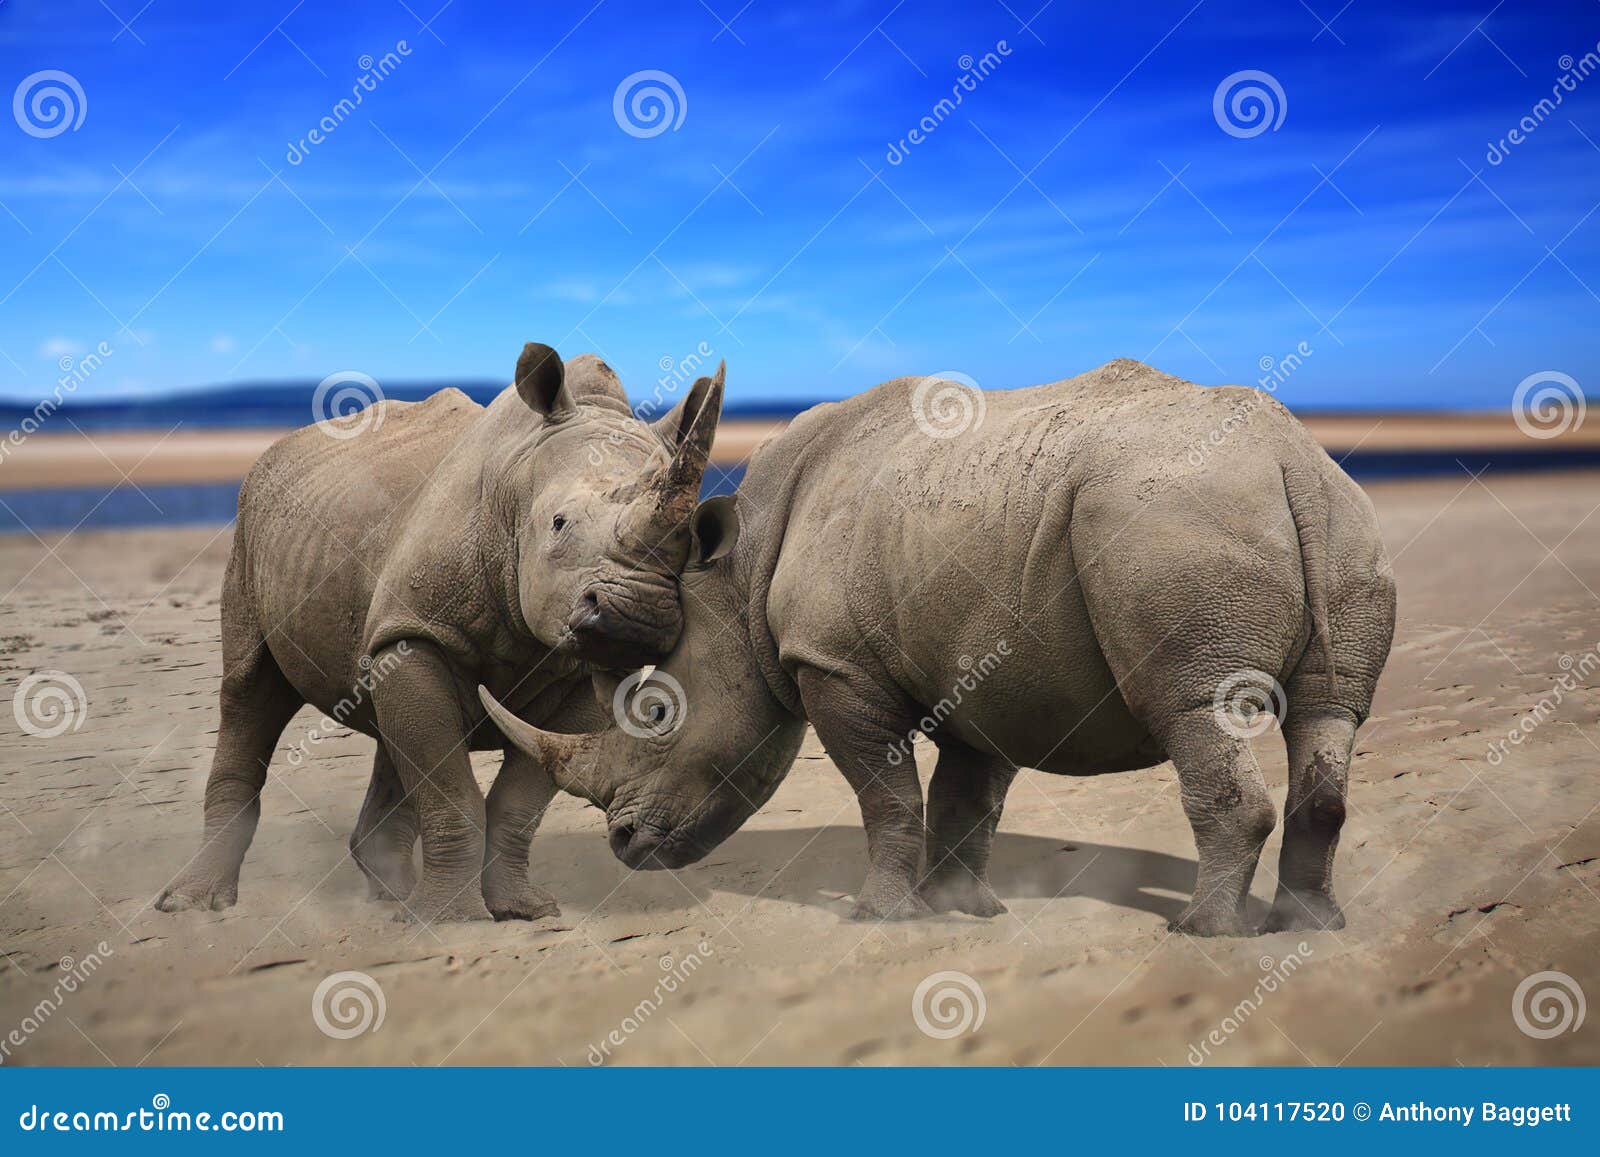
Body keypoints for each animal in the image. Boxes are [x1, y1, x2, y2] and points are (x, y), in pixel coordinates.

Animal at [156, 342, 725, 924]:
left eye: (692, 545)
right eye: (560, 523)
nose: (637, 616)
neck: (516, 490)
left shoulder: (576, 669)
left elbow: (519, 796)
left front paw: (521, 911)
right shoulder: (416, 631)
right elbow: (450, 790)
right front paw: (450, 921)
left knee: (385, 716)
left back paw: (395, 900)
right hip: (250, 530)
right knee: (249, 691)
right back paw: (193, 905)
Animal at [481, 359, 1396, 935]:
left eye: (655, 714)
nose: (623, 845)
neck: (734, 583)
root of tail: (1289, 459)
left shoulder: (834, 663)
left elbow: (888, 794)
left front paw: (879, 916)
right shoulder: (979, 662)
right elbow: (964, 796)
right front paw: (961, 909)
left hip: (1171, 519)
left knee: (1196, 703)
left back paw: (1203, 932)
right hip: (1338, 520)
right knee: (1328, 711)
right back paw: (1306, 927)